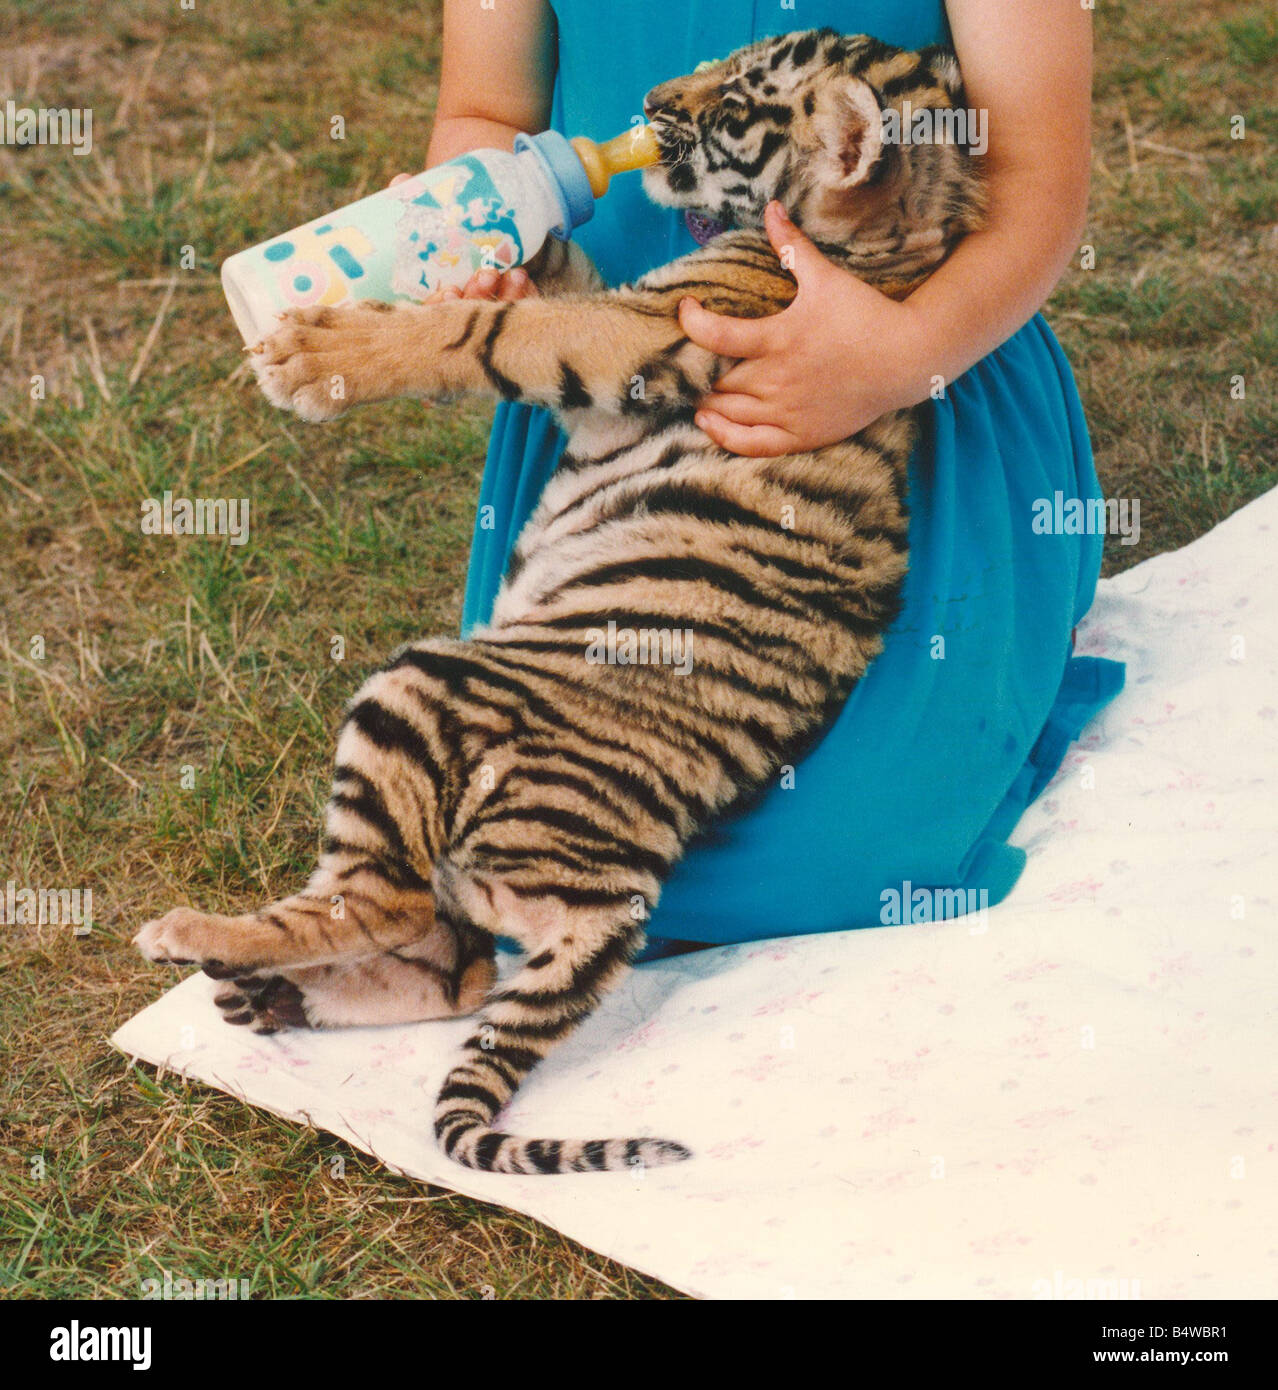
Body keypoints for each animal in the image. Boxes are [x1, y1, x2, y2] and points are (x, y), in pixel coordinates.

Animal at [134, 29, 985, 1175]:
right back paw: (267, 993)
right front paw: (497, 208)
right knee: (458, 970)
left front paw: (318, 355)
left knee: (386, 905)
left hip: (422, 693)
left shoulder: (642, 330)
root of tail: (617, 897)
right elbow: (545, 275)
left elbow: (480, 330)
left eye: (737, 103)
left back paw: (201, 940)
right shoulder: (615, 346)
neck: (888, 243)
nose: (654, 102)